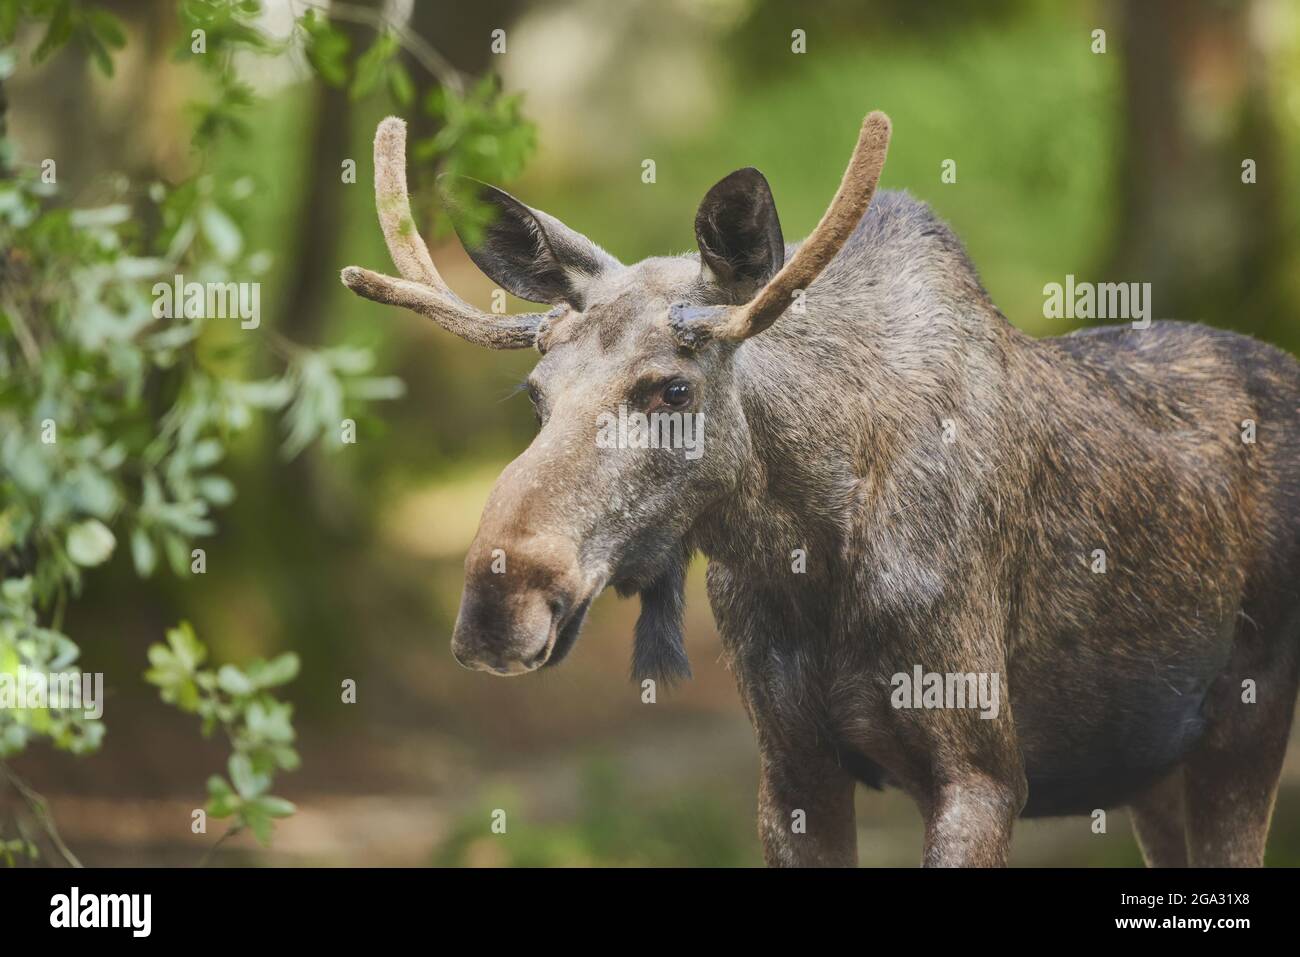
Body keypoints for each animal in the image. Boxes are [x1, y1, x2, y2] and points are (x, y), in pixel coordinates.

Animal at [342, 111, 1300, 867]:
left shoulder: (984, 770)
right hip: (1154, 769)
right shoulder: (792, 765)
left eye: (672, 388)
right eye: (537, 395)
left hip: (1246, 720)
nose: (497, 602)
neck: (808, 541)